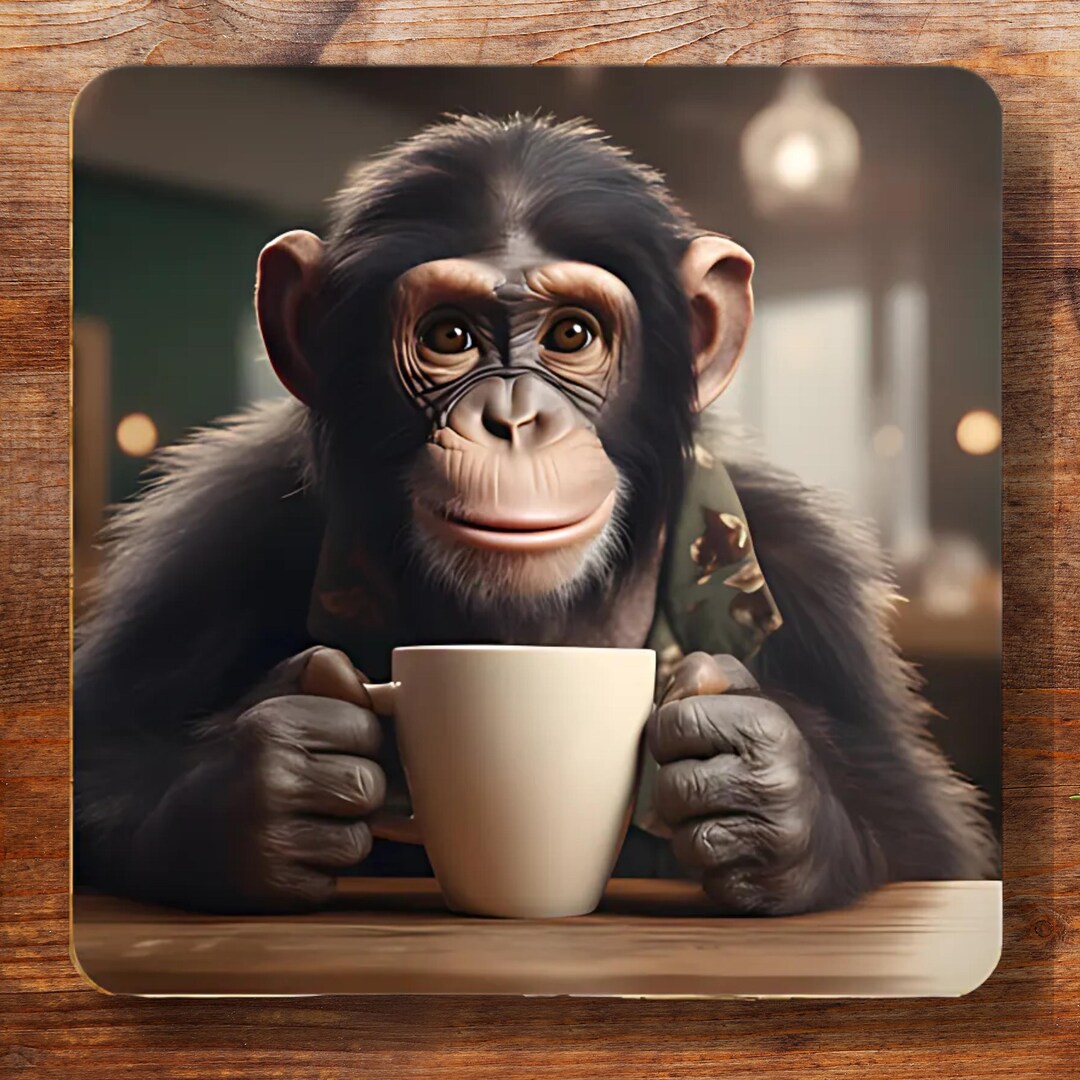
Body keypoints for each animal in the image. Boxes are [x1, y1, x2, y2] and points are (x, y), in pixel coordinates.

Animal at [73, 114, 998, 915]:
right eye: (449, 336)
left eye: (572, 335)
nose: (514, 420)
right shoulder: (217, 532)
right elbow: (93, 753)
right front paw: (262, 787)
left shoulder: (805, 568)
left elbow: (925, 841)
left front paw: (773, 799)